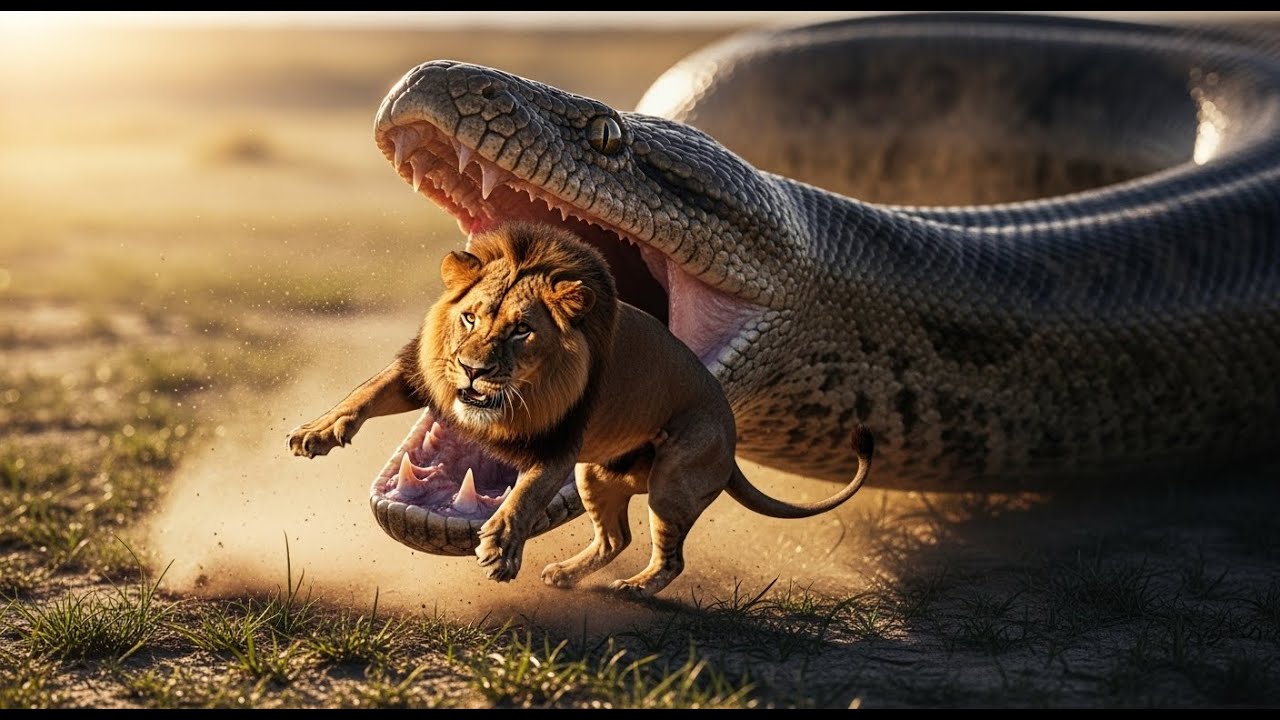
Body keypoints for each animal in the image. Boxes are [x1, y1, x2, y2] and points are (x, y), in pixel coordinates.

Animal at [288, 221, 874, 596]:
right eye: (470, 318)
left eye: (522, 331)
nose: (472, 369)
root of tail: (731, 440)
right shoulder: (421, 378)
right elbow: (367, 390)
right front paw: (317, 431)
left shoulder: (560, 446)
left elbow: (524, 494)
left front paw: (501, 550)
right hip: (598, 475)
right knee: (617, 537)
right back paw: (567, 575)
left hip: (673, 481)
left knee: (670, 556)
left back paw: (633, 588)